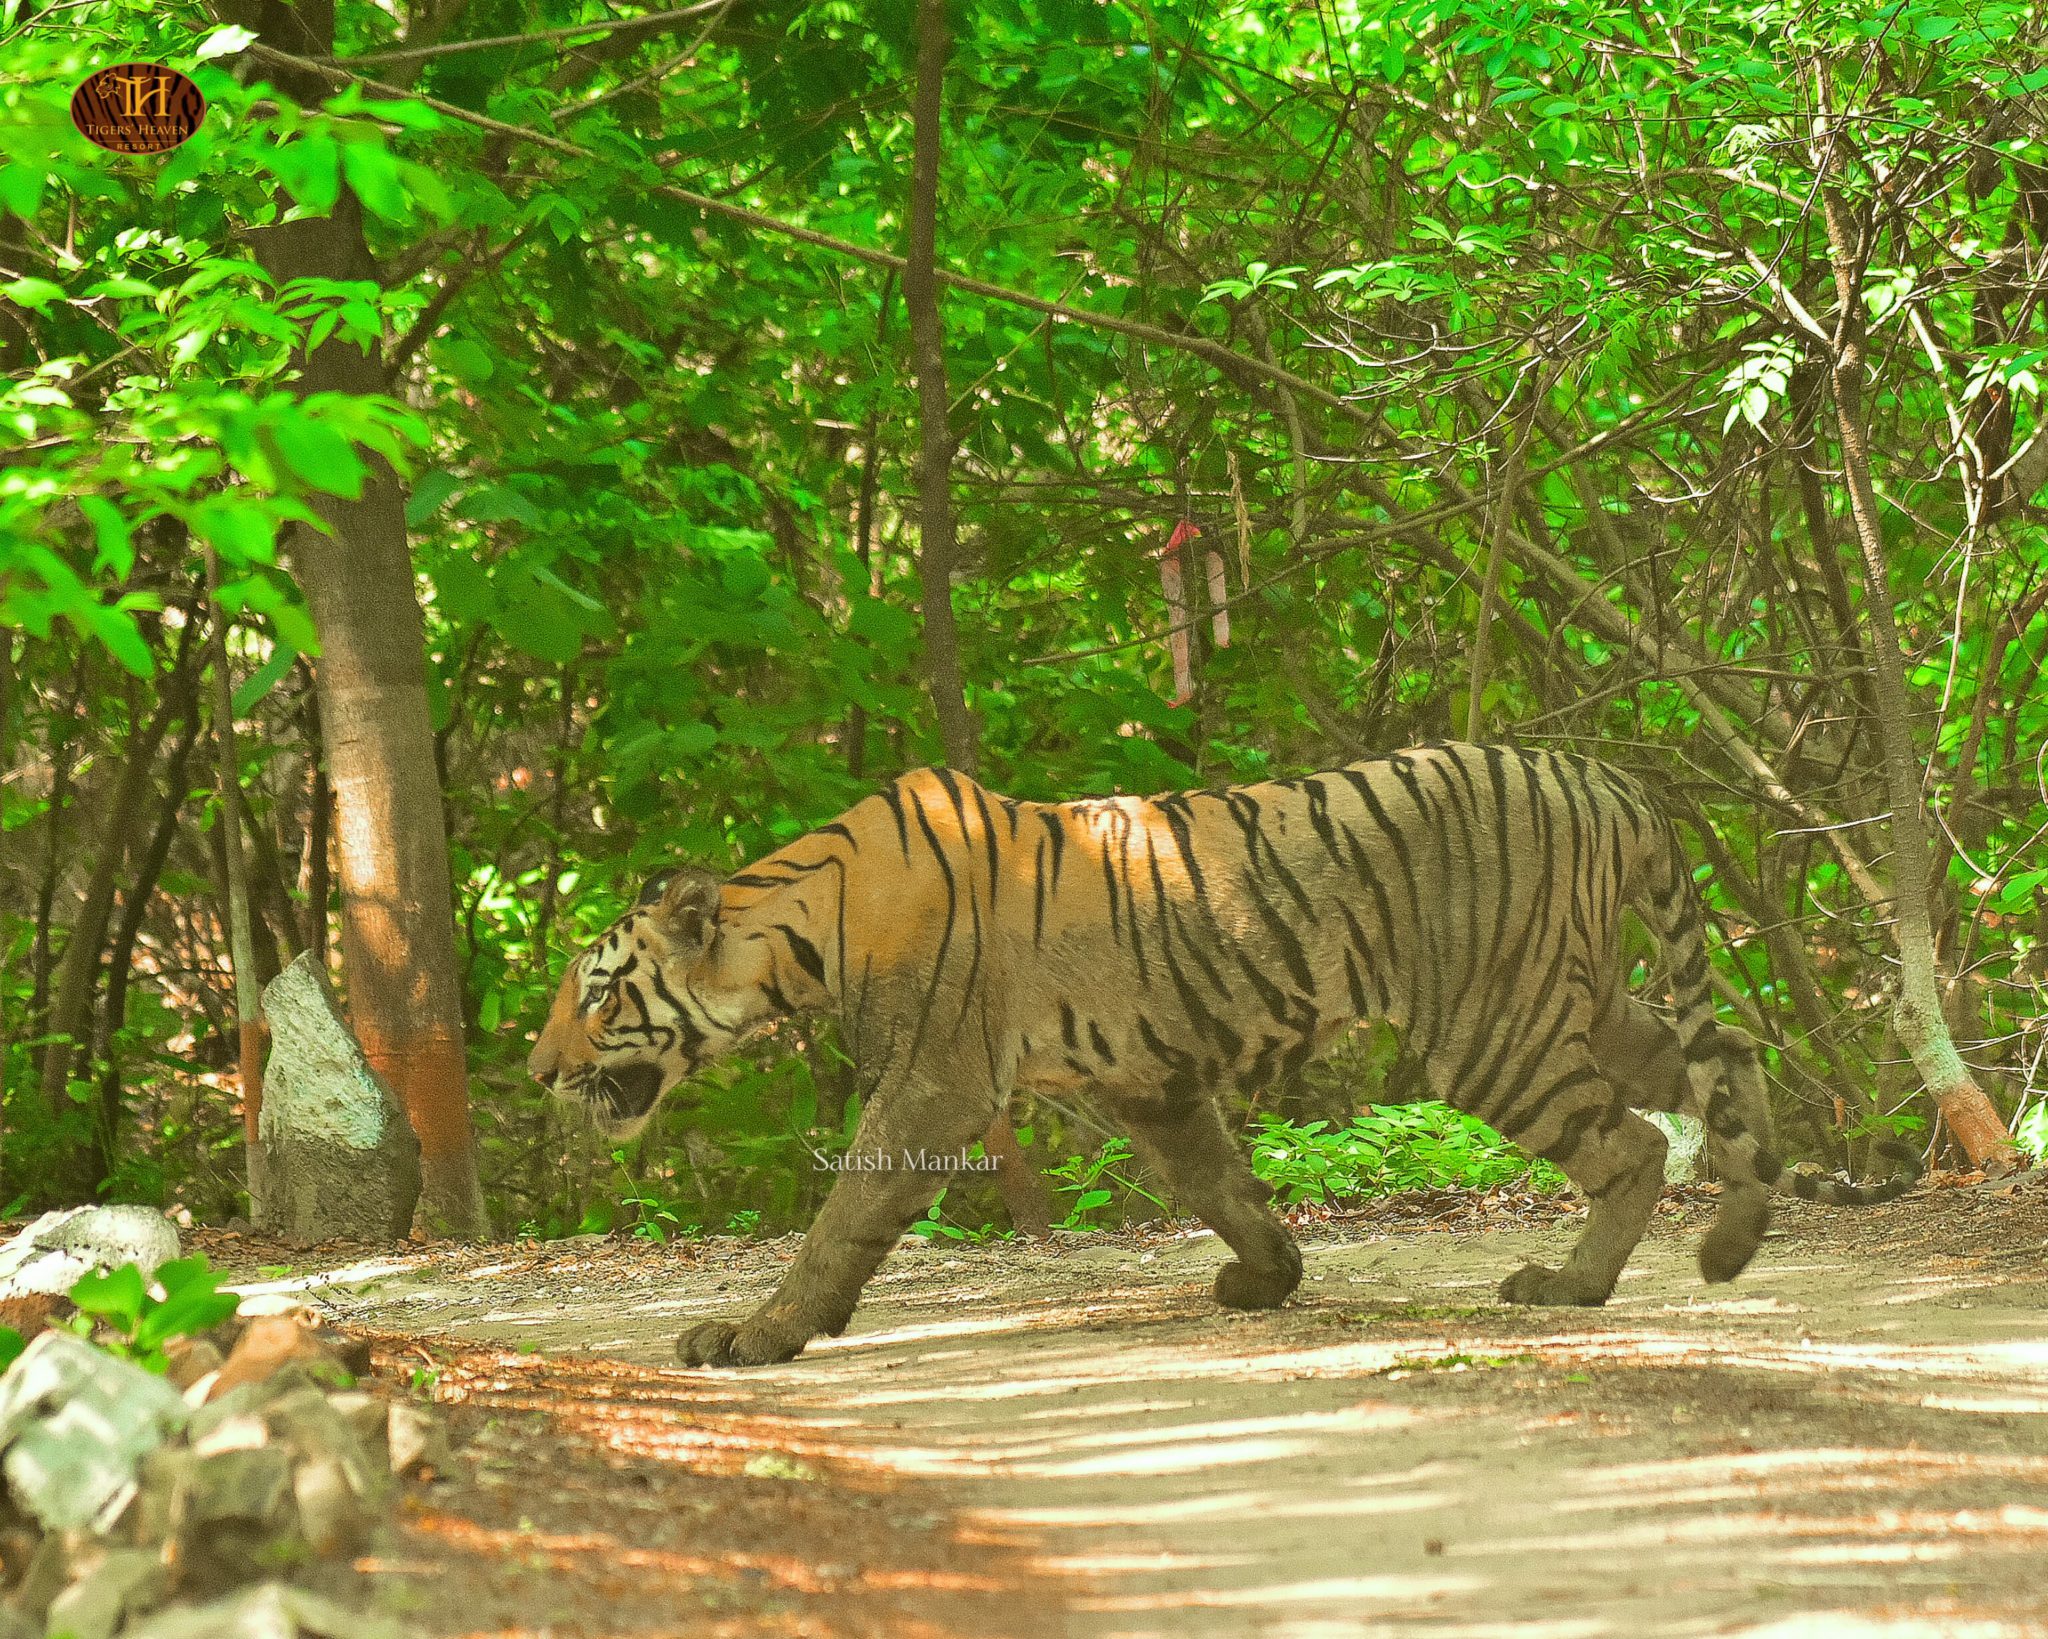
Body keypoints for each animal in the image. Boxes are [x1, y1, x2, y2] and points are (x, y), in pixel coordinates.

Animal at [528, 741, 1920, 1367]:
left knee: (1630, 1139)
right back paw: (1735, 1236)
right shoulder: (1143, 1077)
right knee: (1723, 1063)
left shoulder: (930, 1080)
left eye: (597, 993)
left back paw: (1570, 1284)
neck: (797, 932)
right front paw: (1268, 1274)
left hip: (1494, 1027)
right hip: (1573, 1004)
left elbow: (843, 1216)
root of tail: (1599, 776)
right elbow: (1214, 1180)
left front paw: (755, 1332)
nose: (537, 1070)